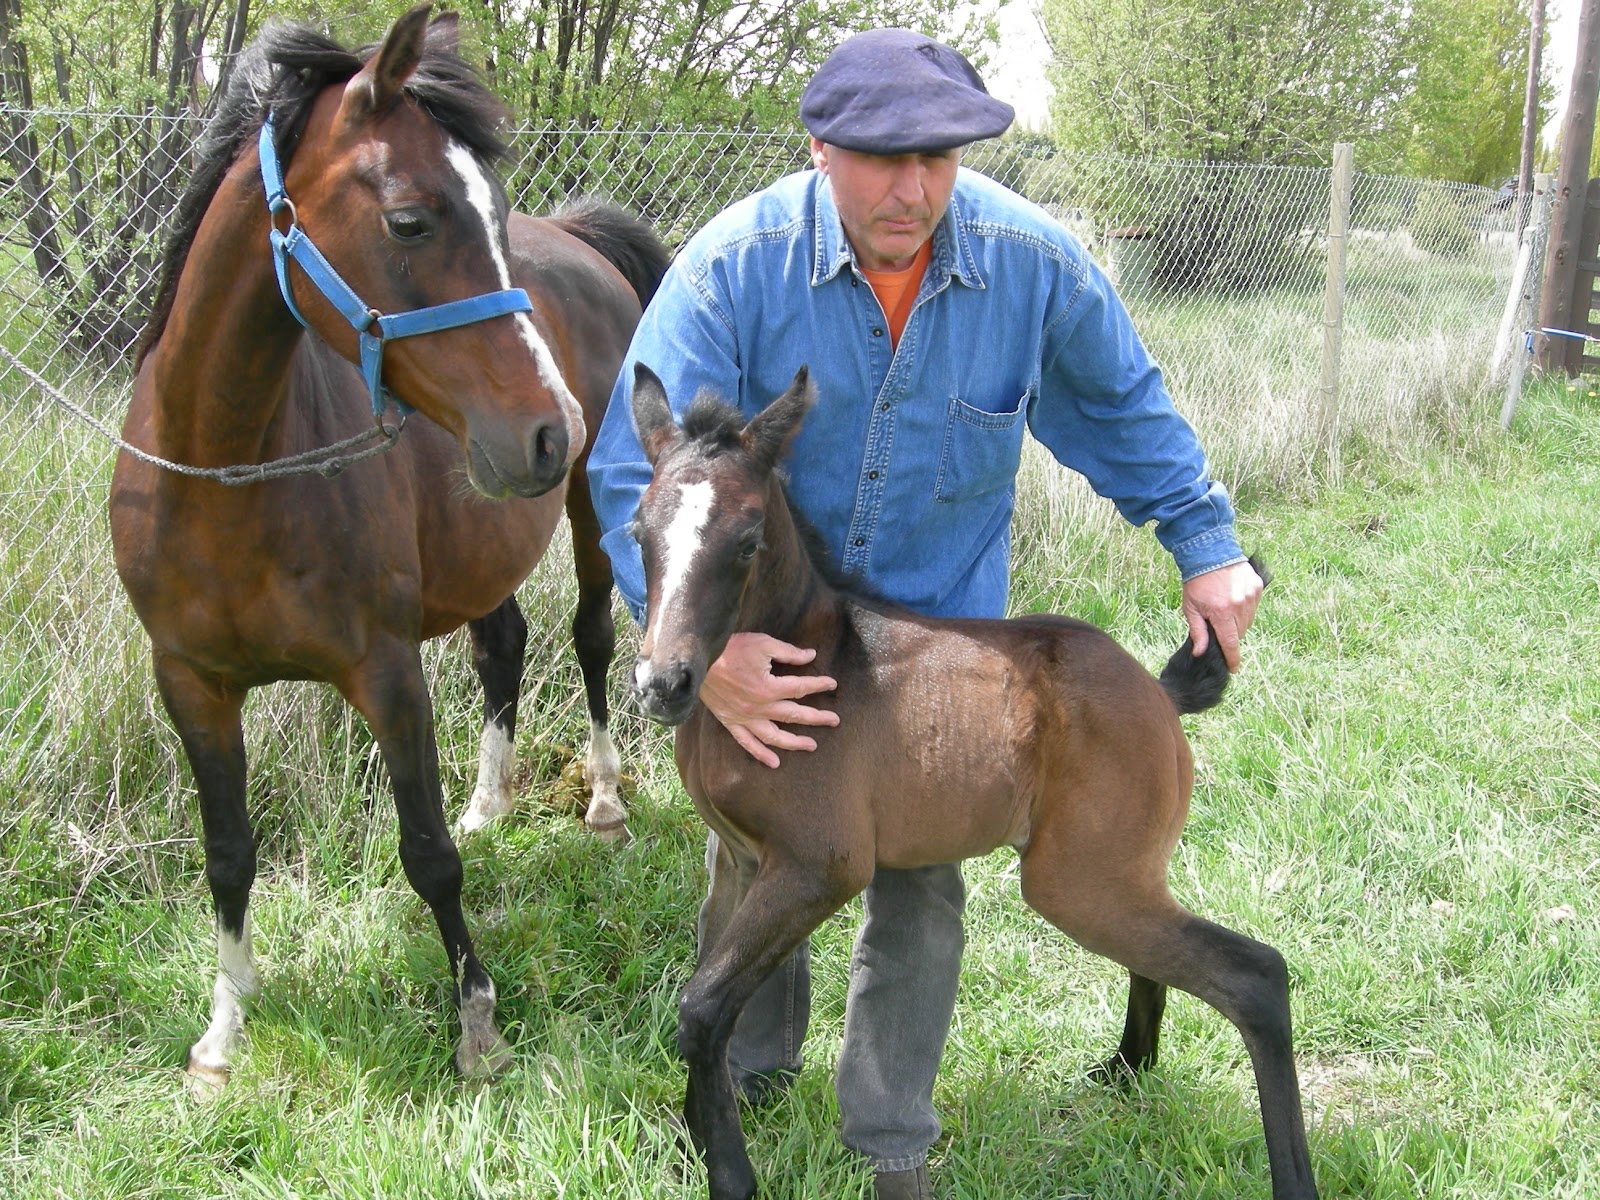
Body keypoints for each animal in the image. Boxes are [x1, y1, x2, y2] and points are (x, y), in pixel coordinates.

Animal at [108, 4, 667, 1091]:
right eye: (411, 219)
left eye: (494, 213)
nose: (551, 427)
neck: (229, 468)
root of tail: (584, 242)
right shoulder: (189, 683)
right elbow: (227, 854)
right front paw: (222, 1035)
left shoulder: (386, 671)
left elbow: (427, 853)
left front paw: (478, 1026)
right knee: (503, 644)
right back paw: (493, 803)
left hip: (589, 509)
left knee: (588, 641)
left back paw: (604, 804)